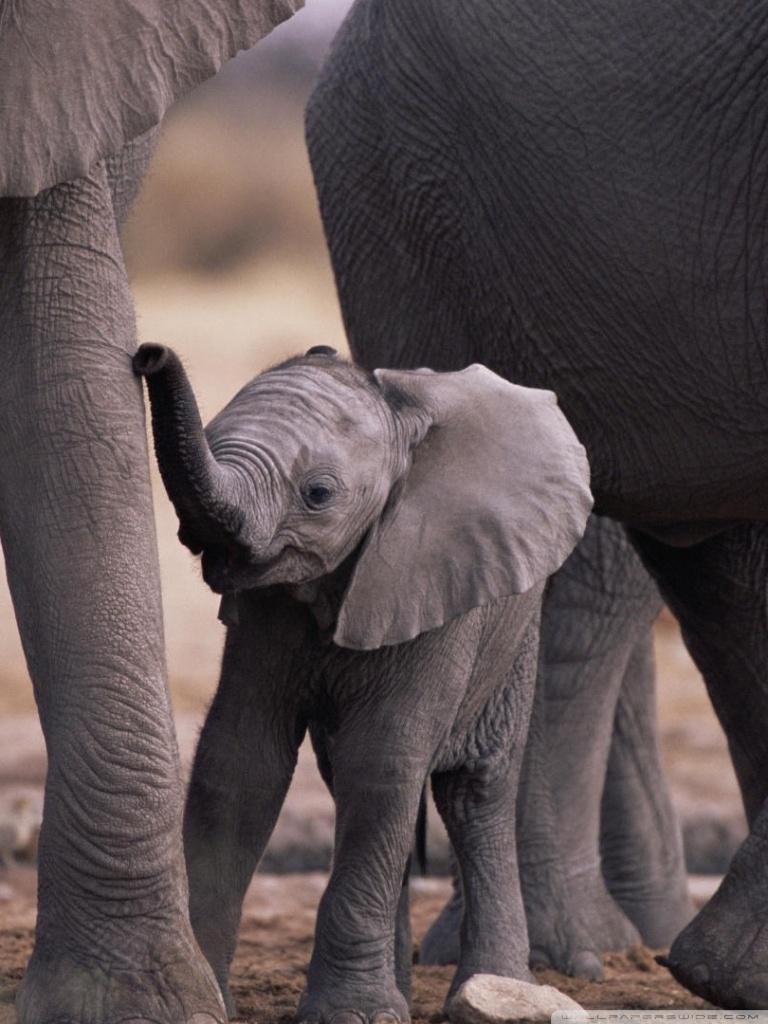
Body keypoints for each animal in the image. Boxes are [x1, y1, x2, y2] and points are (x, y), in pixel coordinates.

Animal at [132, 341, 593, 1022]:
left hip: (514, 630)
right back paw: (400, 992)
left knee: (473, 791)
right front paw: (208, 1000)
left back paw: (494, 988)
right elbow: (239, 764)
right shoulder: (265, 612)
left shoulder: (433, 578)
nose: (148, 353)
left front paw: (352, 1014)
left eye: (318, 494)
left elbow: (381, 763)